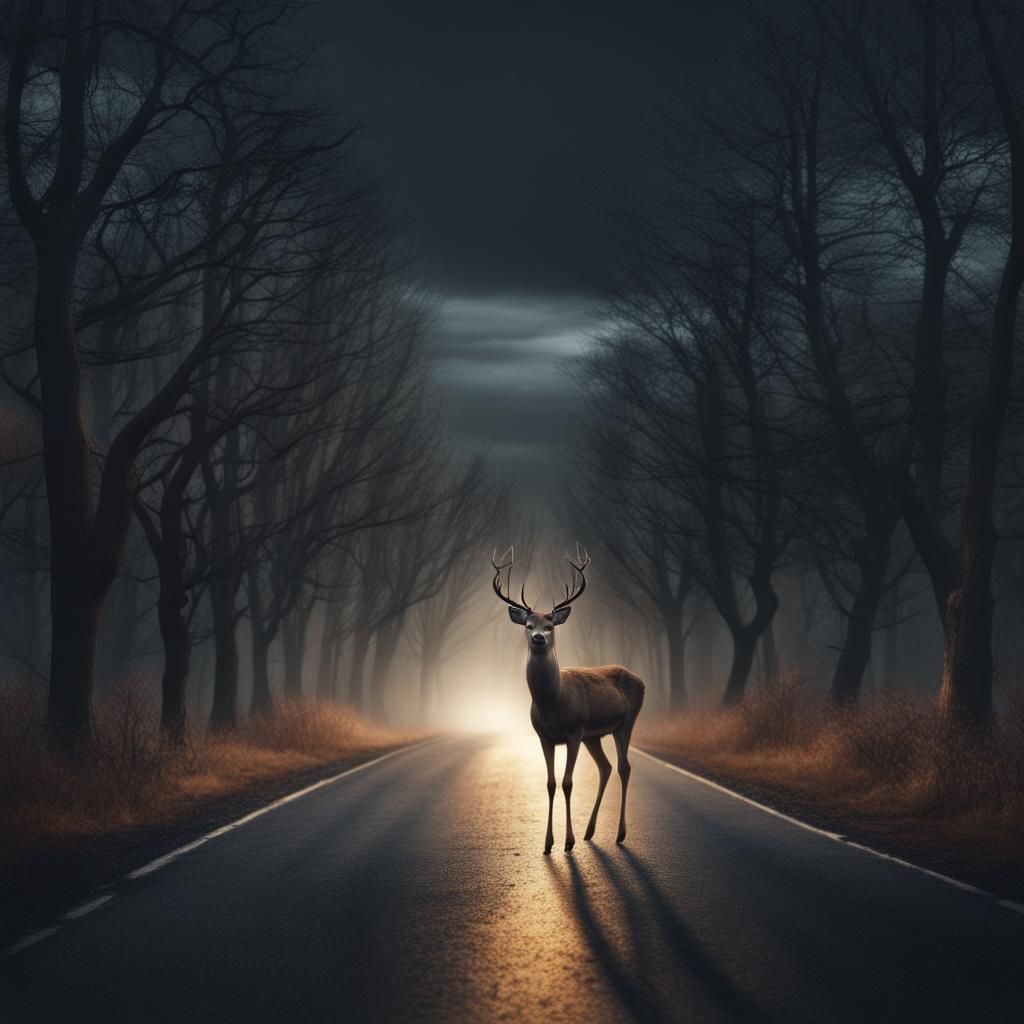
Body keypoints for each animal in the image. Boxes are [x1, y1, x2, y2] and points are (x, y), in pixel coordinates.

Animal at [491, 545, 645, 854]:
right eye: (528, 625)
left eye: (550, 625)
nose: (539, 638)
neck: (554, 702)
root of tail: (641, 680)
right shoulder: (545, 736)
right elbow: (550, 783)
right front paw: (547, 843)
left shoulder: (574, 731)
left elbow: (567, 783)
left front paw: (568, 841)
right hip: (594, 736)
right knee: (605, 767)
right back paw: (590, 831)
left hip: (625, 721)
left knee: (624, 766)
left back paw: (619, 834)